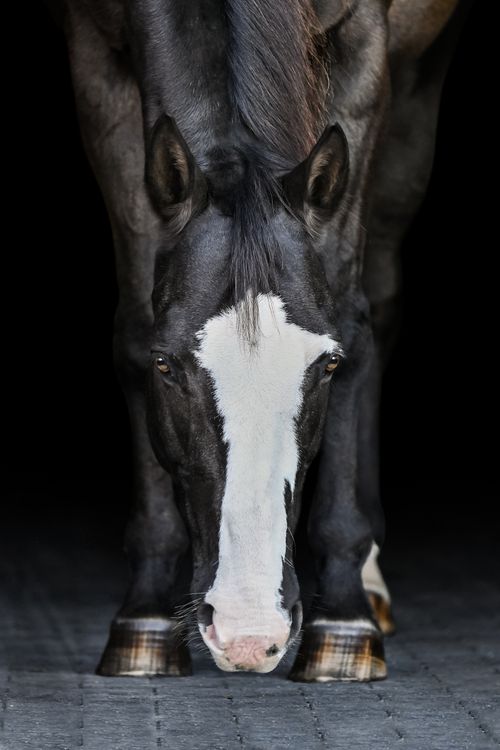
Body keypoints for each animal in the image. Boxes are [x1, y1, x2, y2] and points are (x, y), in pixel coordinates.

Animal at [47, 0, 468, 680]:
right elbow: (134, 319)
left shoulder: (364, 47)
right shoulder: (96, 58)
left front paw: (343, 624)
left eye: (327, 366)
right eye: (165, 366)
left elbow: (350, 309)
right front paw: (145, 617)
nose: (249, 633)